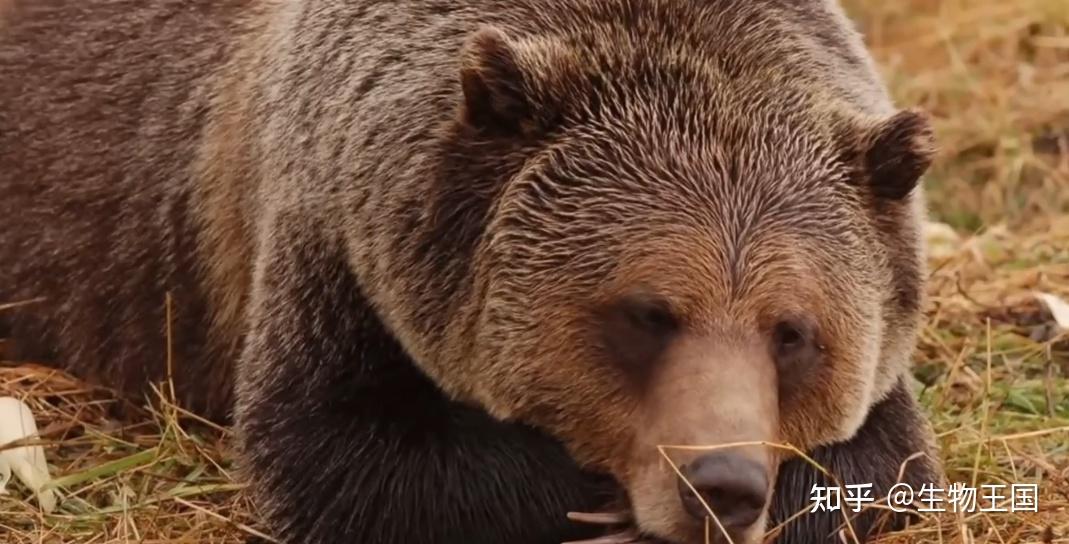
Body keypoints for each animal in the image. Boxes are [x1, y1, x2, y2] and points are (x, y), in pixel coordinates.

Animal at [0, 0, 944, 543]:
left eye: (793, 332)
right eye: (645, 313)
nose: (722, 485)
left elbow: (882, 466)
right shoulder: (334, 246)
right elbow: (335, 454)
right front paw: (586, 497)